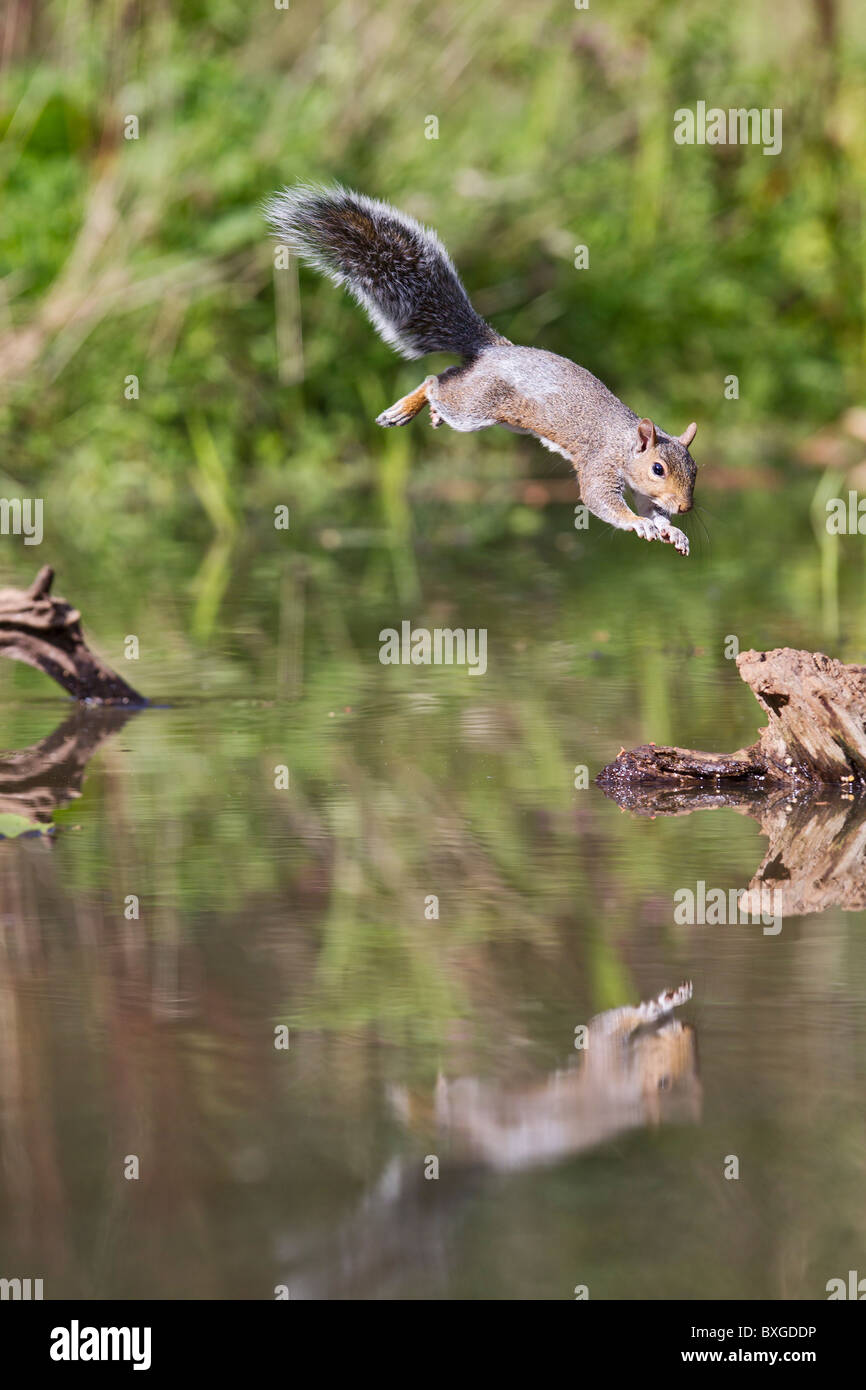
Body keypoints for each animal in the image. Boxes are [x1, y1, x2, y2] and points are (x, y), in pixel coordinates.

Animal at [265, 184, 698, 555]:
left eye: (694, 469)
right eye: (658, 468)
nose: (685, 508)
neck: (626, 444)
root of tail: (493, 350)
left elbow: (651, 507)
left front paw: (670, 529)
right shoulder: (601, 461)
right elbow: (600, 499)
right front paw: (638, 523)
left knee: (448, 376)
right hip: (476, 407)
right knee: (436, 381)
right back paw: (409, 406)